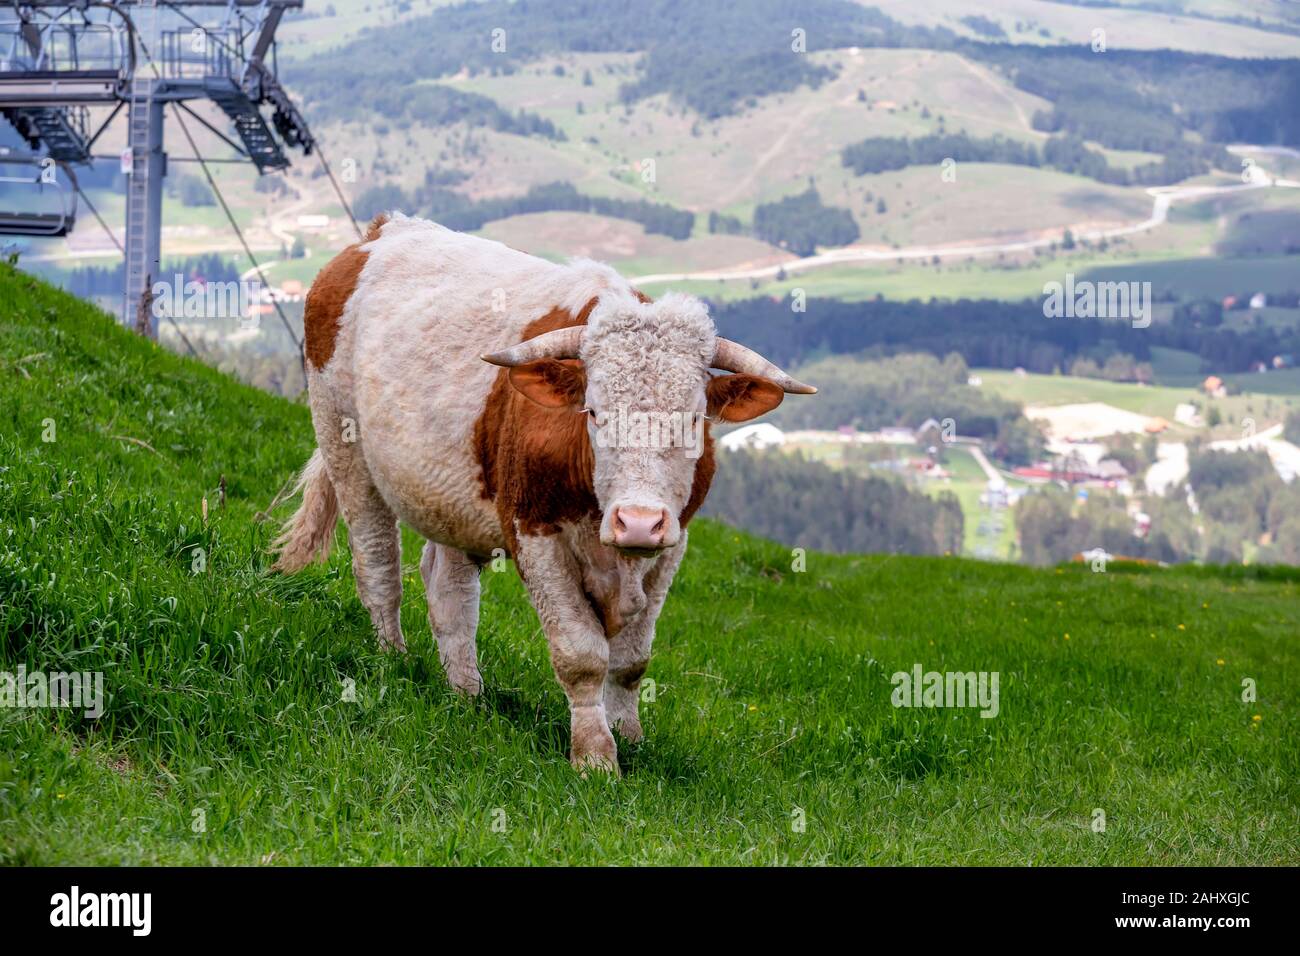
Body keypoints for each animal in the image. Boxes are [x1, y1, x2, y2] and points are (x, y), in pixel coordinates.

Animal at [273, 213, 814, 772]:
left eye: (693, 419)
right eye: (593, 411)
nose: (638, 522)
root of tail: (385, 231)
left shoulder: (673, 543)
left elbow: (632, 660)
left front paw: (631, 737)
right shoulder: (533, 530)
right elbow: (581, 655)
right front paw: (596, 756)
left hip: (448, 497)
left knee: (450, 592)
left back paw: (466, 696)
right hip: (344, 446)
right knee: (378, 565)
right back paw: (393, 660)